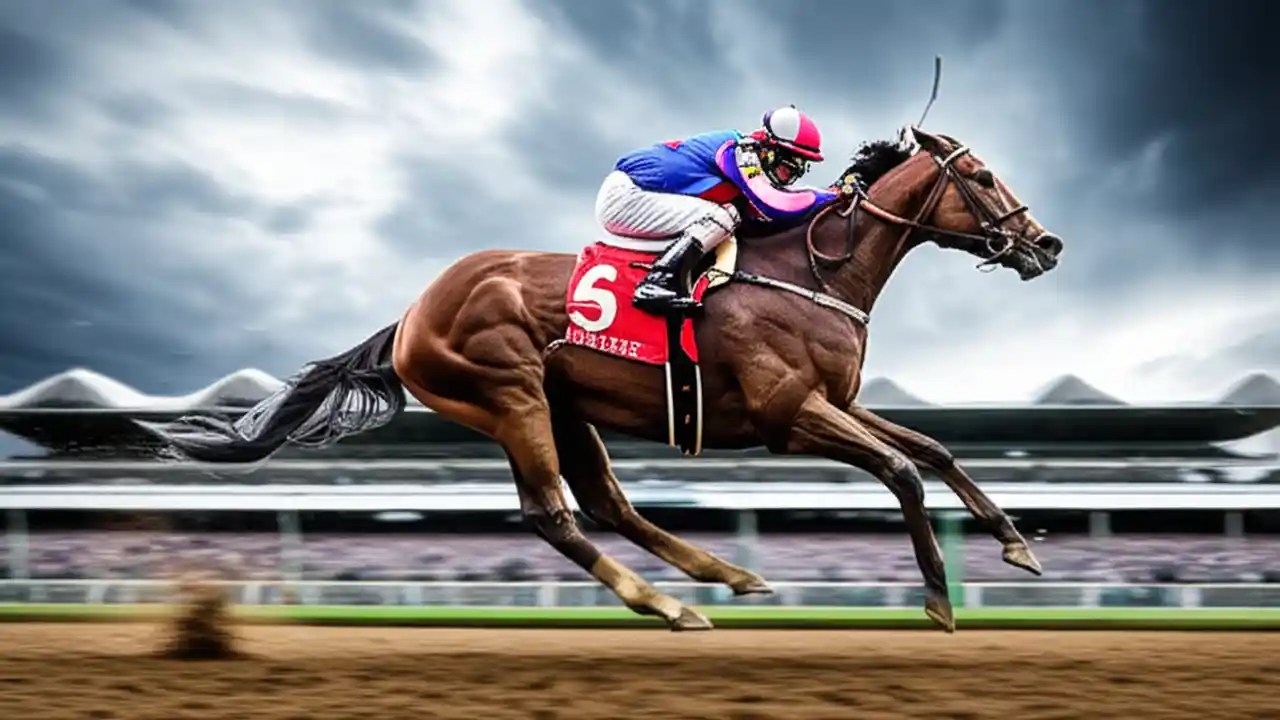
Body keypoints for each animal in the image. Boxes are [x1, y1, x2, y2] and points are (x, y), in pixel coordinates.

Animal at [147, 126, 1065, 632]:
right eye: (982, 177)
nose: (1046, 244)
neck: (812, 267)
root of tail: (410, 316)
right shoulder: (788, 411)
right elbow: (904, 469)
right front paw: (940, 602)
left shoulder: (834, 401)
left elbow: (936, 451)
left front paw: (1016, 544)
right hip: (509, 393)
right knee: (553, 515)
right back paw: (671, 605)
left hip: (566, 405)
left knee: (606, 503)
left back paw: (725, 575)